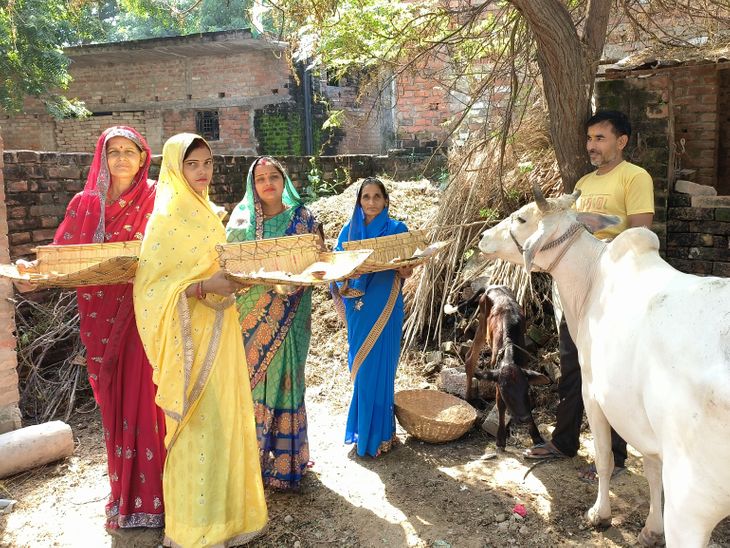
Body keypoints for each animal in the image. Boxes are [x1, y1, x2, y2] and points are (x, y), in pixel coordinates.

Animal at [448, 285, 550, 450]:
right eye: (505, 393)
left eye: (526, 390)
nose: (523, 418)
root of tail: (492, 286)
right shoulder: (497, 379)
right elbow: (500, 406)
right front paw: (501, 437)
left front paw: (536, 436)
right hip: (482, 322)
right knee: (470, 359)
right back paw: (469, 398)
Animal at [477, 183, 730, 547]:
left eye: (522, 218)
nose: (483, 237)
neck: (591, 279)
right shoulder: (642, 422)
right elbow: (651, 469)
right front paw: (651, 528)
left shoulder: (594, 394)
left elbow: (606, 459)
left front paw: (600, 514)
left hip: (692, 503)